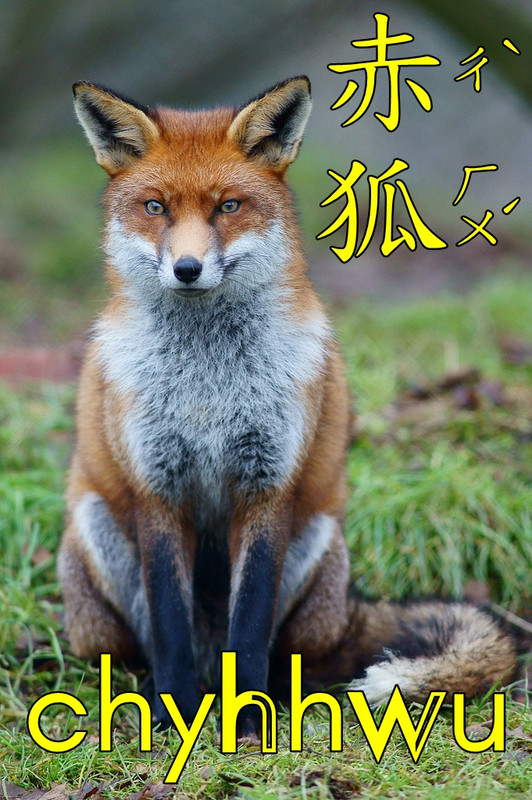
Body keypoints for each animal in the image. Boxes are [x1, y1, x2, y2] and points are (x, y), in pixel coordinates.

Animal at [58, 76, 518, 740]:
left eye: (228, 207)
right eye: (155, 208)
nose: (187, 269)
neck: (208, 382)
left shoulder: (268, 483)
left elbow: (250, 623)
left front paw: (250, 718)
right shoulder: (157, 485)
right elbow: (168, 624)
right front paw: (172, 710)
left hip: (319, 544)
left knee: (293, 656)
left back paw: (279, 692)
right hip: (94, 549)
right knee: (143, 646)